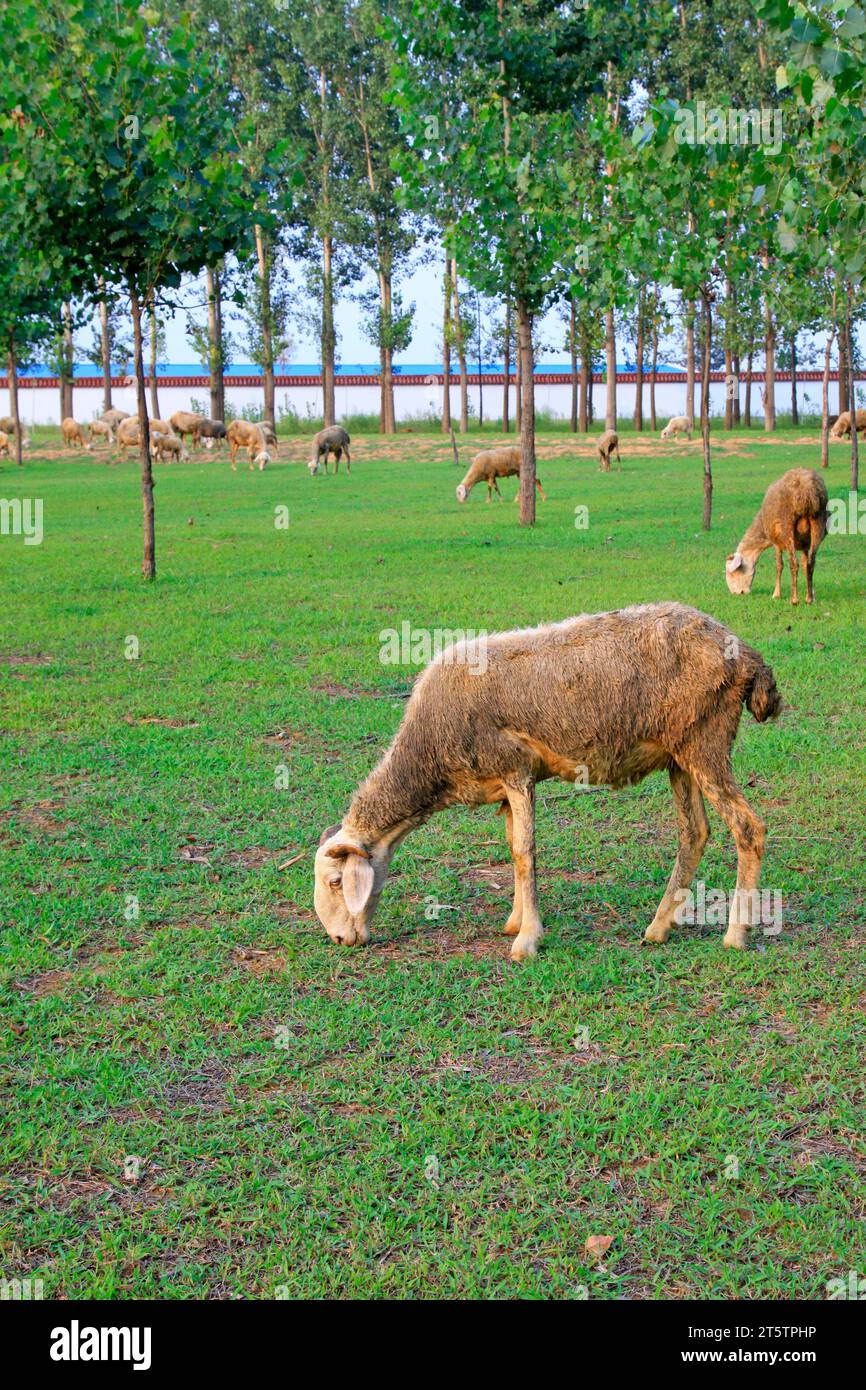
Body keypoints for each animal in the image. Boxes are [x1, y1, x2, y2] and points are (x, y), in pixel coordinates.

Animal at [314, 601, 781, 962]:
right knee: (694, 832)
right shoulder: (505, 788)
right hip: (681, 754)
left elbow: (525, 852)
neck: (428, 756)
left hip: (706, 743)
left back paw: (736, 933)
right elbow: (512, 850)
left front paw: (527, 941)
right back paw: (659, 926)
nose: (338, 939)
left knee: (747, 828)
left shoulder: (515, 768)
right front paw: (515, 921)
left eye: (336, 882)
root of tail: (746, 654)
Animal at [725, 467, 828, 606]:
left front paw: (776, 594)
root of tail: (807, 490)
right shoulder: (805, 545)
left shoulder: (776, 543)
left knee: (793, 563)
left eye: (731, 573)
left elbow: (779, 566)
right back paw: (808, 600)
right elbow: (806, 565)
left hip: (787, 524)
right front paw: (812, 595)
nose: (737, 593)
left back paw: (794, 599)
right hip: (819, 521)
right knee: (811, 563)